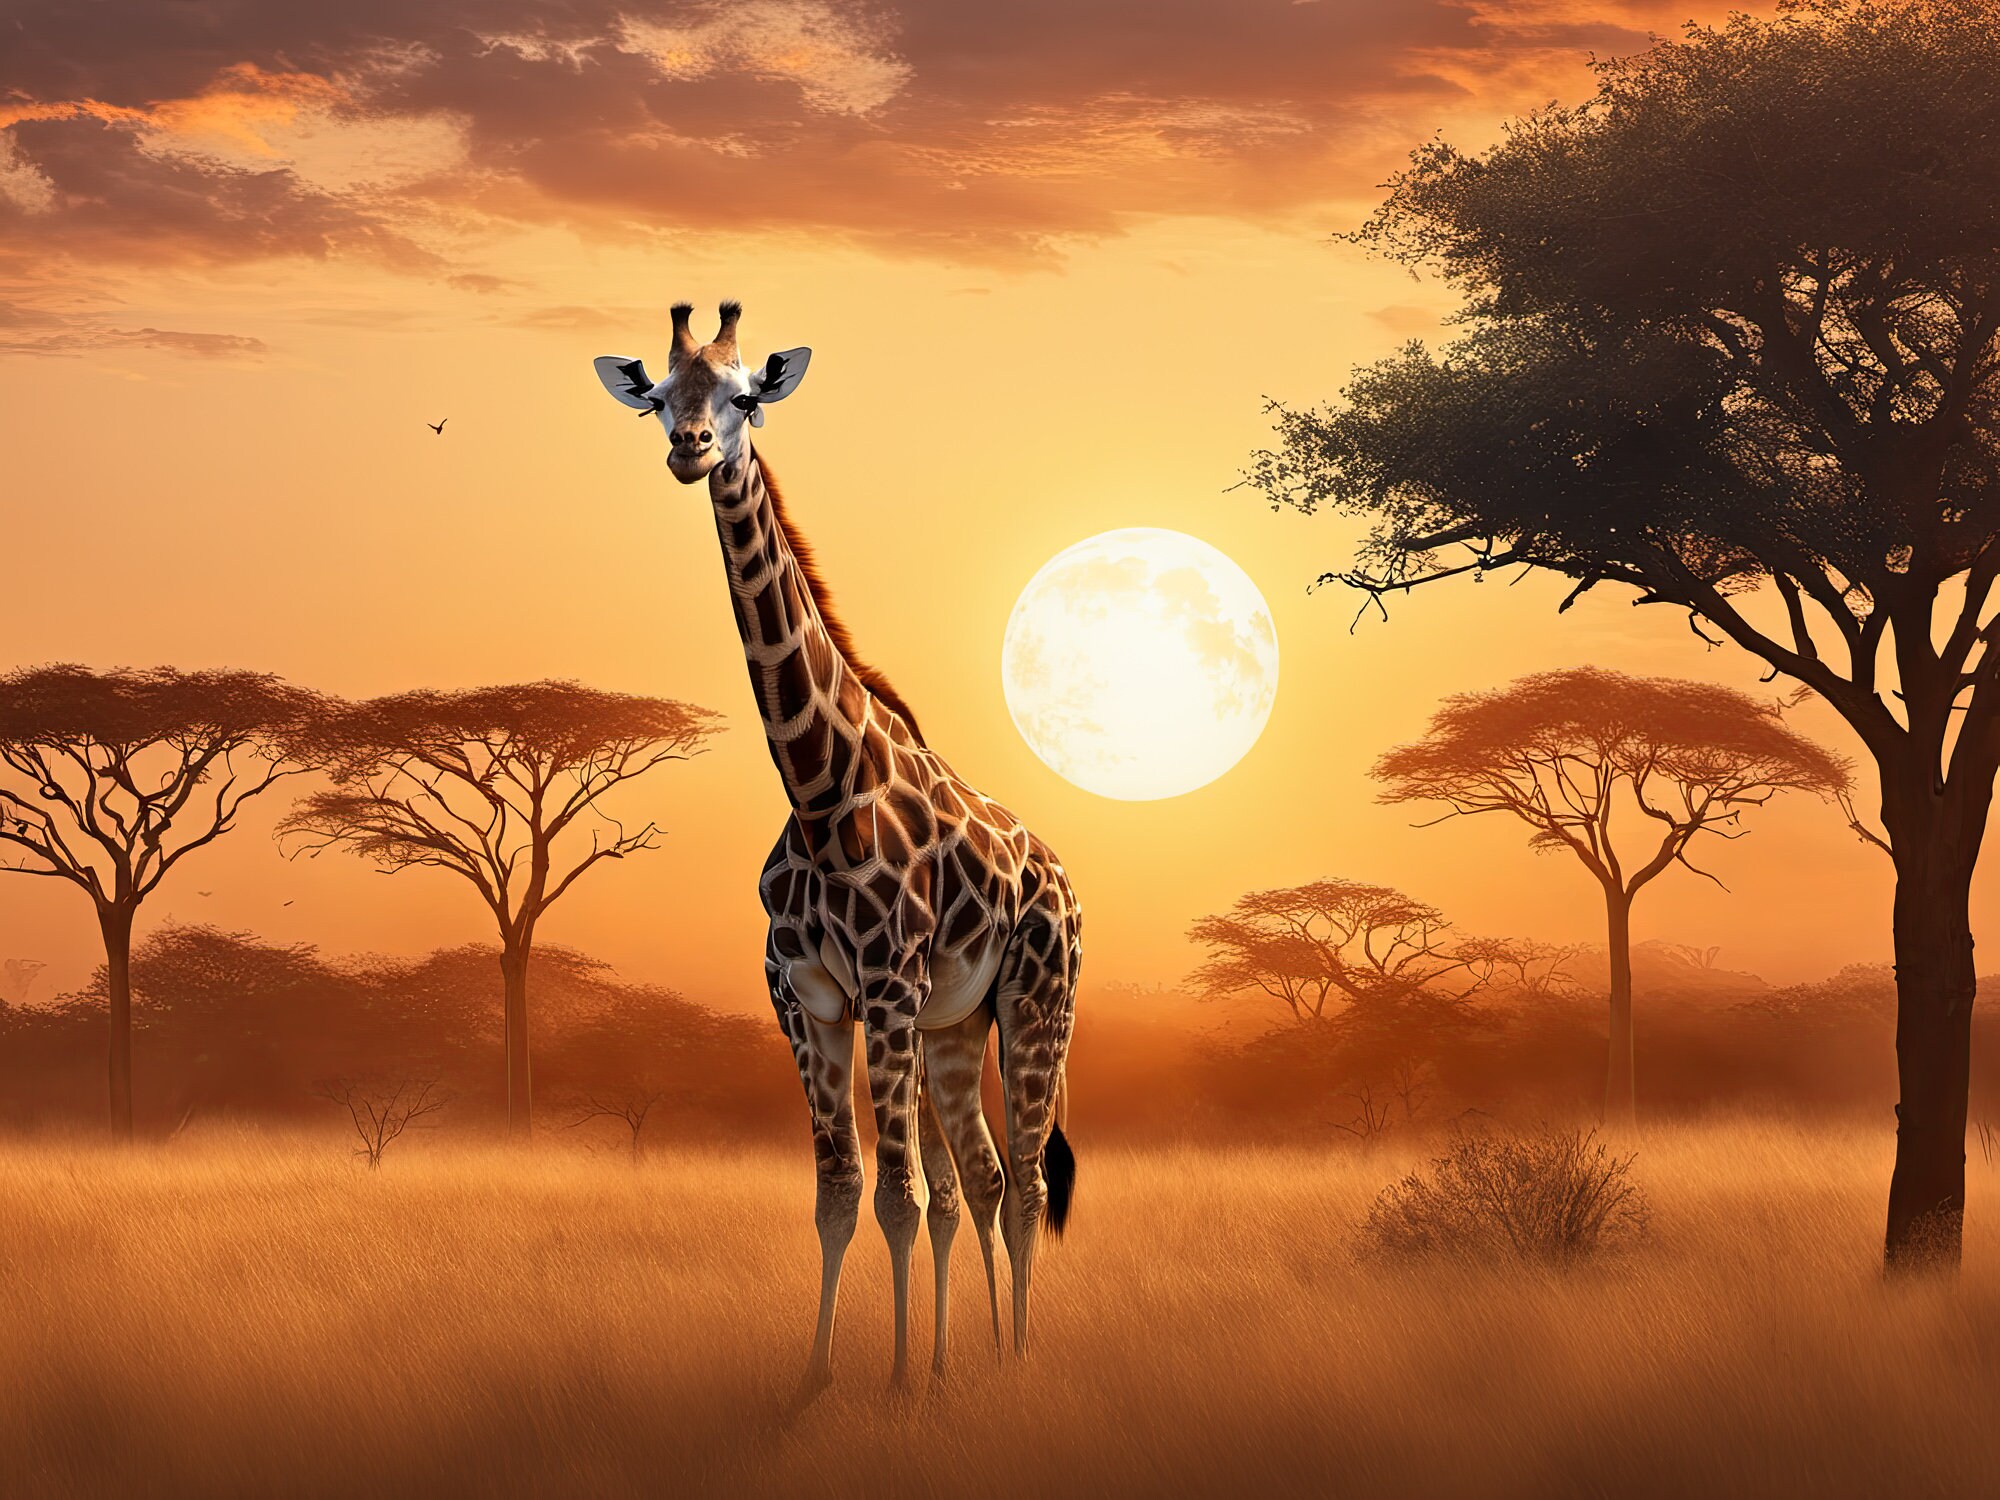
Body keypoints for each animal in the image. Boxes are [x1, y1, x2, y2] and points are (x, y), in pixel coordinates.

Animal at [594, 301, 1080, 1398]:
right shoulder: (804, 996)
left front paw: (895, 1383)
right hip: (959, 1025)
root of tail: (1063, 879)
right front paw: (825, 1374)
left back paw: (1021, 1357)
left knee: (1026, 1182)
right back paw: (976, 1354)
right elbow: (841, 1190)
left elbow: (898, 1196)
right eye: (660, 397)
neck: (819, 791)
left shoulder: (887, 986)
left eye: (743, 397)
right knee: (982, 1178)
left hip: (1036, 1001)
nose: (692, 450)